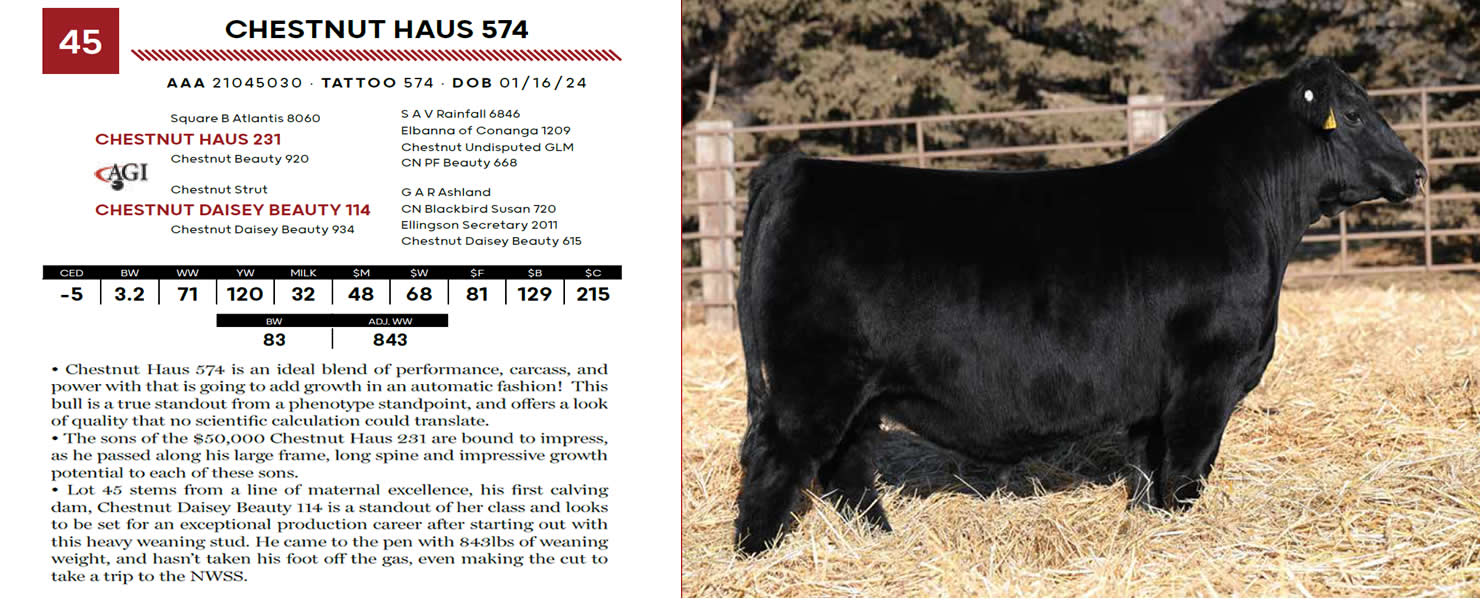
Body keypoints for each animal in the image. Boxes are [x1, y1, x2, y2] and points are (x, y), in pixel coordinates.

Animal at [732, 58, 1426, 554]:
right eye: (1354, 115)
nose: (1416, 171)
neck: (1252, 210)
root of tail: (799, 167)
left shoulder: (1155, 394)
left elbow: (1150, 473)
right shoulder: (1208, 377)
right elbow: (1188, 470)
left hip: (854, 390)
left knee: (845, 466)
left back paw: (881, 541)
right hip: (813, 381)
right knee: (775, 458)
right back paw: (757, 556)